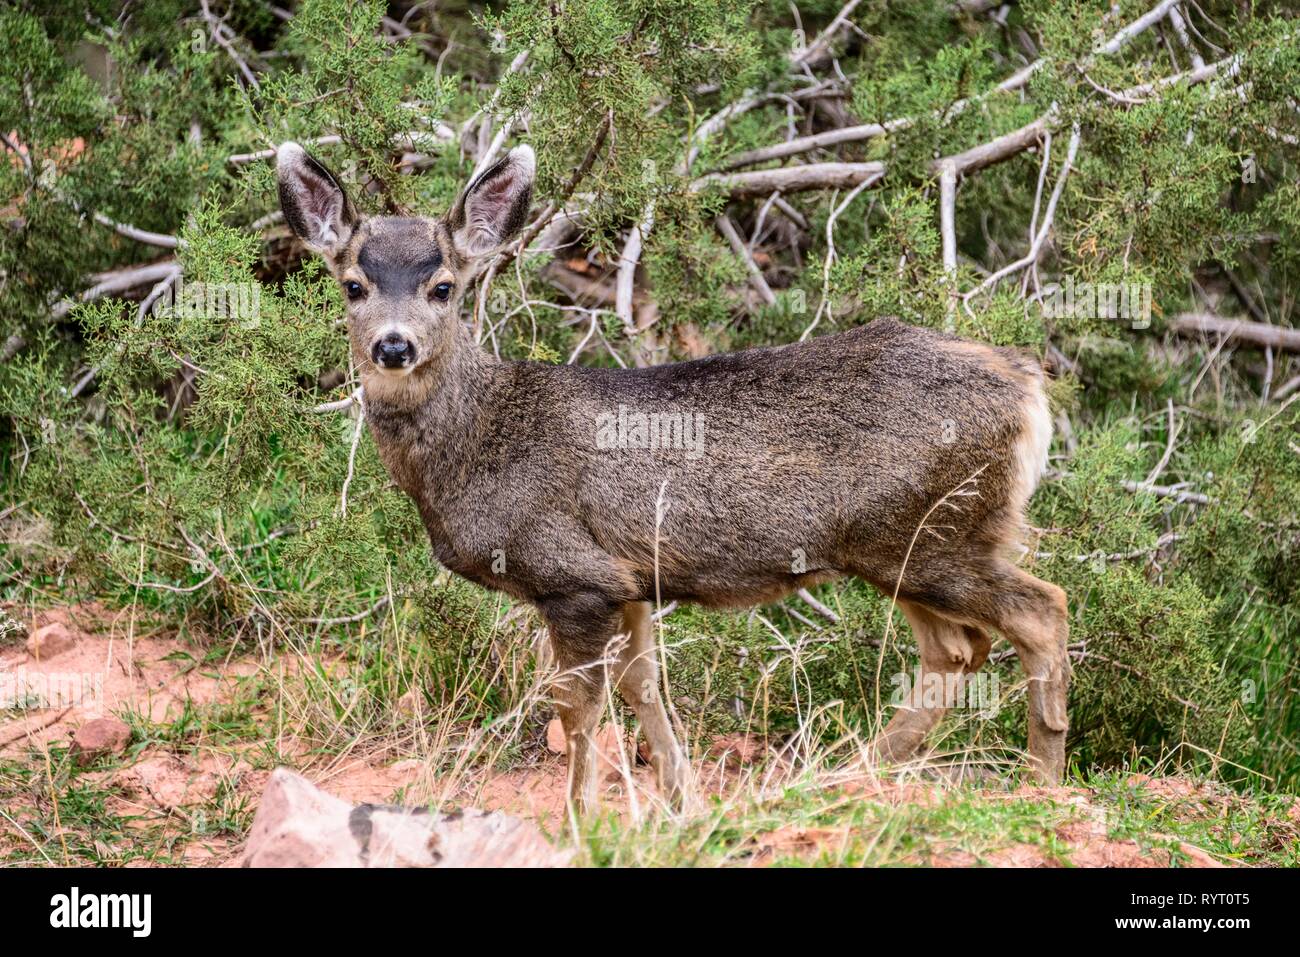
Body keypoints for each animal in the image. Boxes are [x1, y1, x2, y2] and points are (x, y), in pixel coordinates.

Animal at [276, 140, 1071, 813]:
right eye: (353, 285)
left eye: (443, 287)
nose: (393, 346)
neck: (478, 443)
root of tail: (1028, 386)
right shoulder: (629, 580)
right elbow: (644, 688)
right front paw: (681, 799)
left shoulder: (575, 576)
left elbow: (578, 709)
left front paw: (581, 816)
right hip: (901, 543)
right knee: (956, 650)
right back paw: (846, 774)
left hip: (933, 531)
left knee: (1041, 610)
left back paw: (1041, 779)